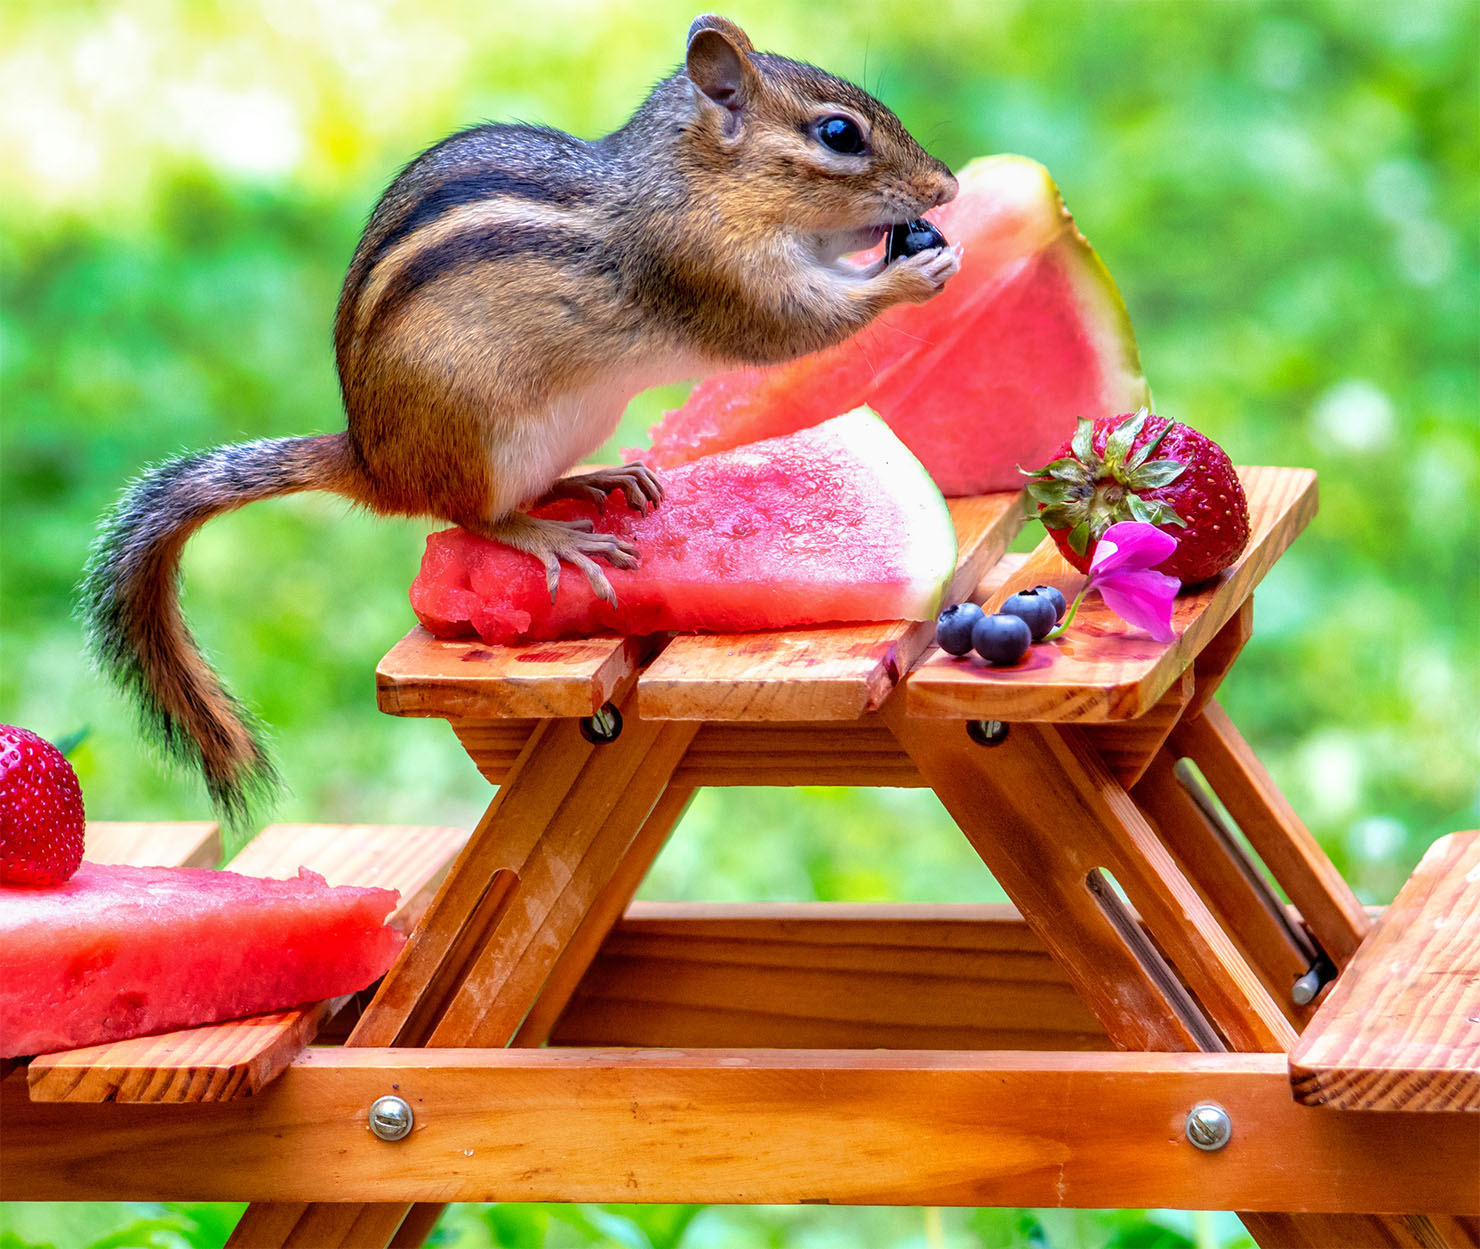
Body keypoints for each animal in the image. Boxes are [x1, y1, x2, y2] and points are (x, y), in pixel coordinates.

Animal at [80, 14, 962, 821]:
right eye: (840, 134)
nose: (947, 189)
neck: (690, 180)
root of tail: (370, 460)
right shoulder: (711, 271)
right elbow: (795, 325)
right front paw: (910, 275)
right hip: (485, 439)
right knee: (474, 516)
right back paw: (553, 535)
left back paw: (597, 480)